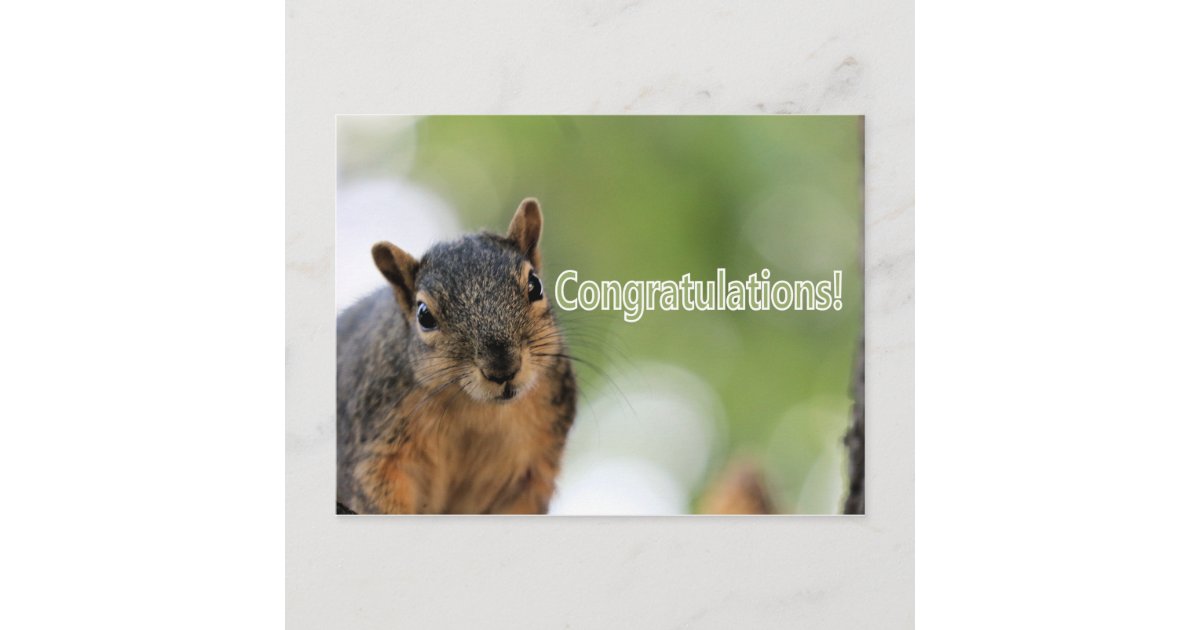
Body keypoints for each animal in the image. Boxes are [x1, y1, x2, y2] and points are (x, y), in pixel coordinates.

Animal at [336, 198, 577, 514]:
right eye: (423, 315)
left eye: (534, 285)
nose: (503, 368)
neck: (476, 408)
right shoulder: (374, 442)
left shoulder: (531, 470)